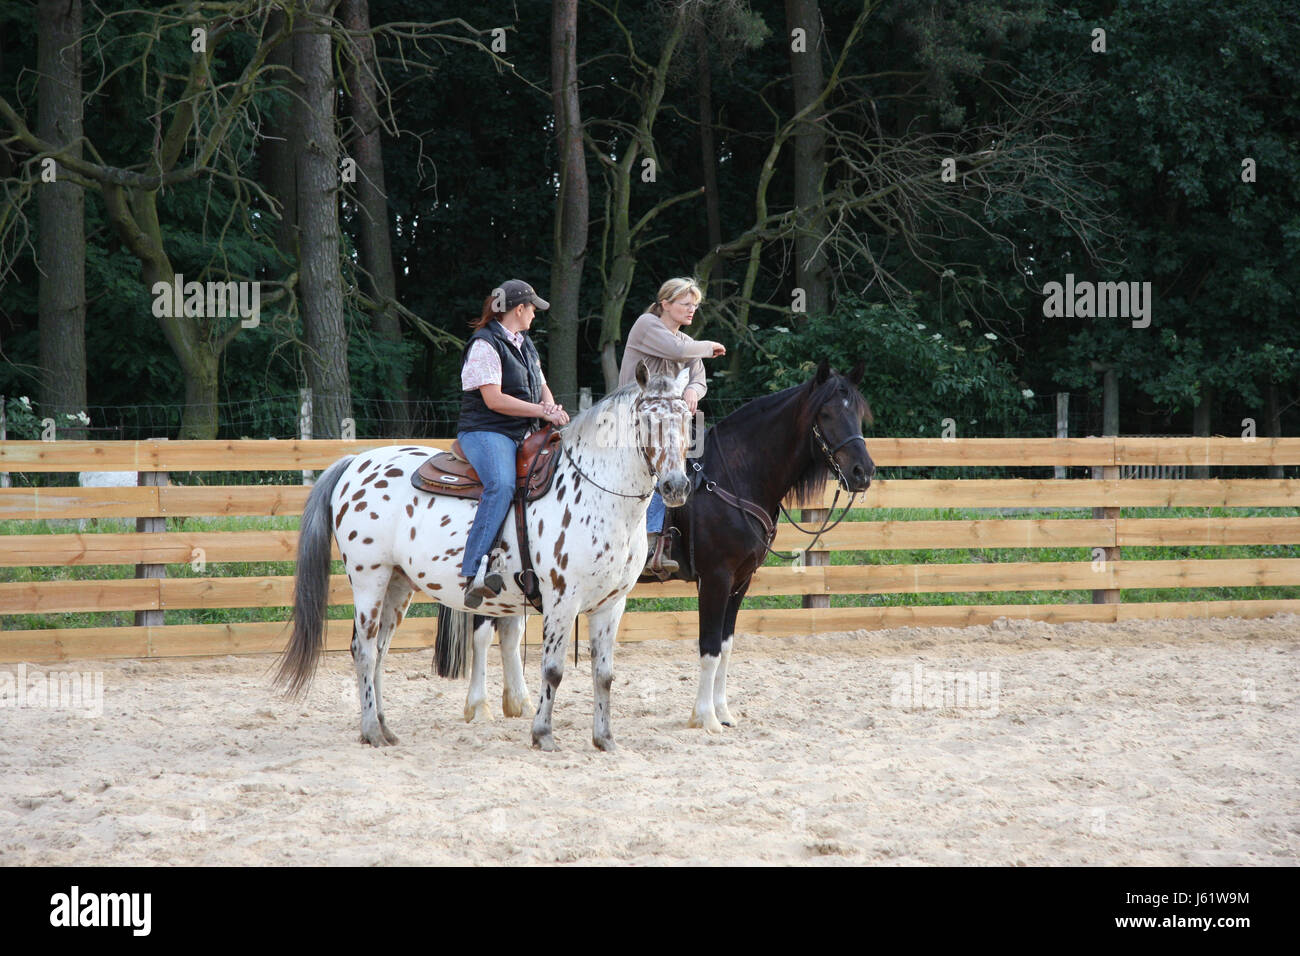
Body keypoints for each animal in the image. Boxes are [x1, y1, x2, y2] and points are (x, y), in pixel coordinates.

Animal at [275, 363, 694, 752]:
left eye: (688, 417)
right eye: (647, 418)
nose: (676, 486)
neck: (596, 494)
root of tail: (354, 464)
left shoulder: (612, 604)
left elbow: (604, 675)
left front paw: (605, 739)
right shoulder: (562, 599)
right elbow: (553, 670)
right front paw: (543, 734)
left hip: (398, 585)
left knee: (379, 651)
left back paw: (384, 727)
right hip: (369, 580)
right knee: (363, 650)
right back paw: (371, 731)